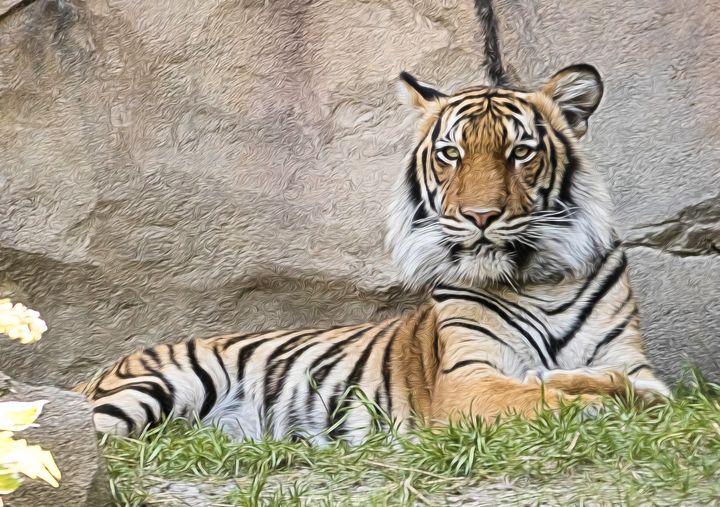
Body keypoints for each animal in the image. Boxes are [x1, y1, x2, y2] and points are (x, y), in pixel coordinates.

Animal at [76, 64, 671, 443]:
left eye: (519, 152)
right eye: (451, 154)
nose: (480, 216)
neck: (536, 279)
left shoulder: (629, 358)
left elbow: (616, 381)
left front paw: (615, 392)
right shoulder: (467, 380)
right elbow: (535, 395)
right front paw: (593, 400)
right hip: (150, 386)